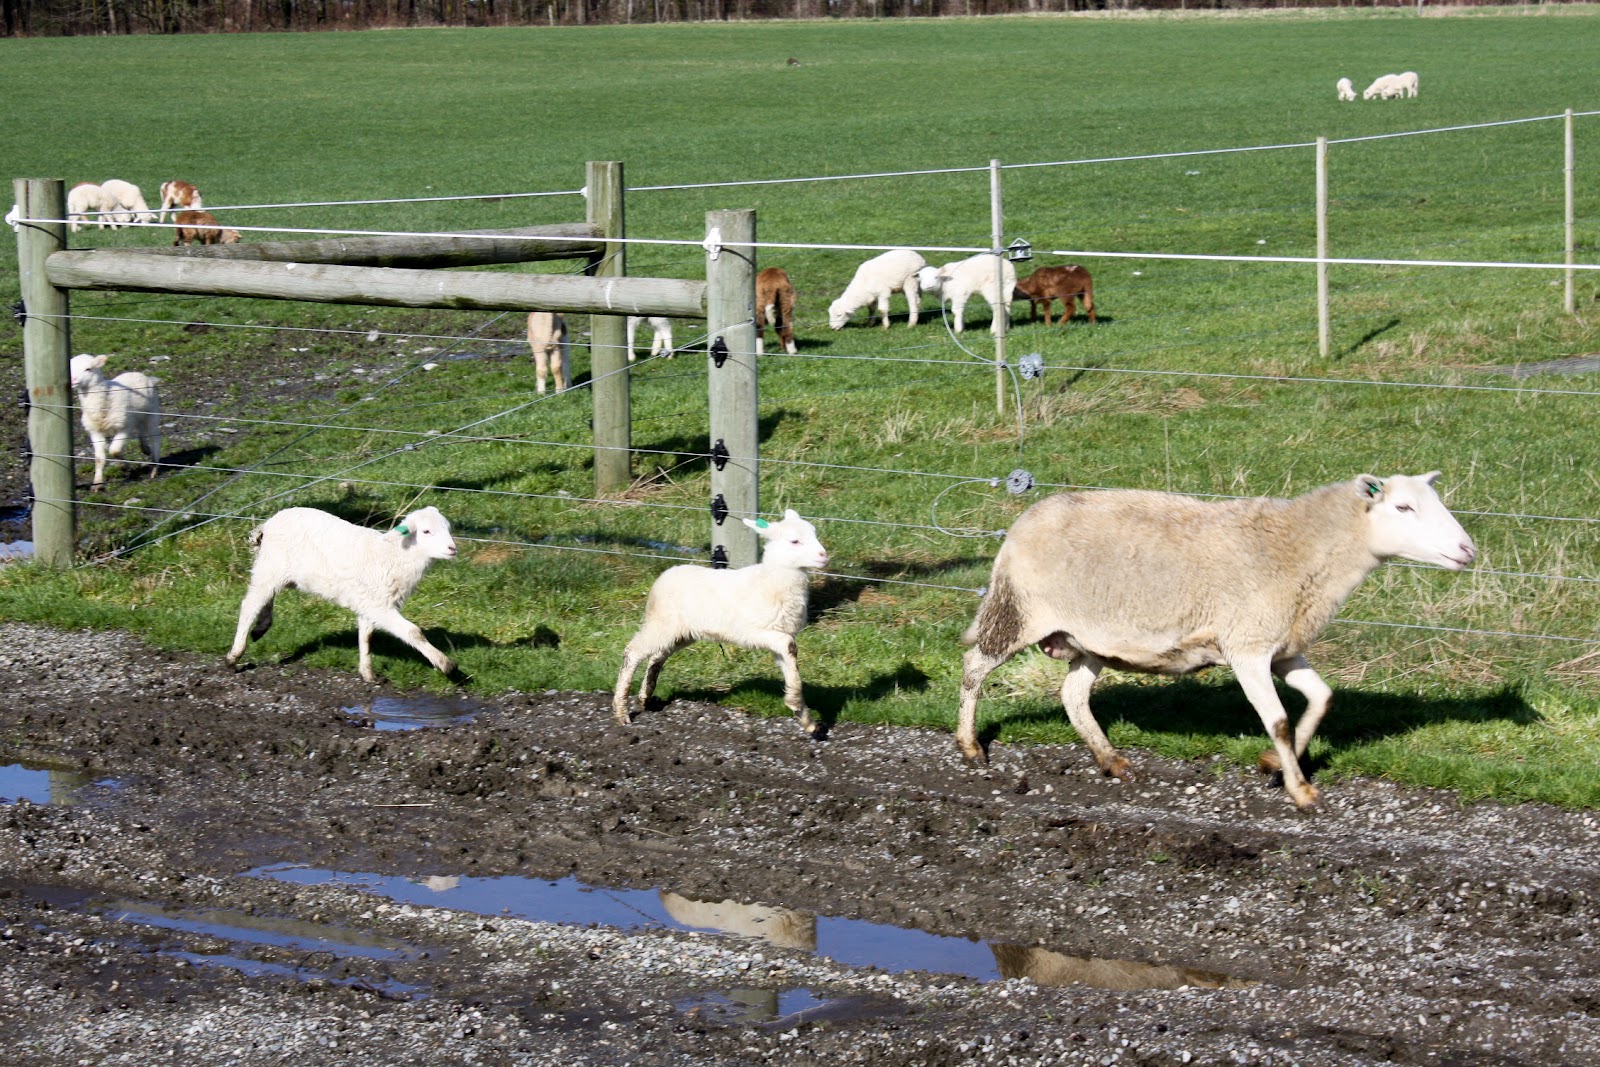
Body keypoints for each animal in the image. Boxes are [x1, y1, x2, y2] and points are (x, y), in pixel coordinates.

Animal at [67, 353, 162, 492]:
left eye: (88, 369)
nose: (73, 380)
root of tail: (138, 373)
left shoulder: (123, 427)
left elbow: (114, 451)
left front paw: (124, 466)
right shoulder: (95, 432)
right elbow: (99, 459)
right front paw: (97, 483)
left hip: (152, 412)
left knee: (155, 438)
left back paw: (154, 466)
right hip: (138, 415)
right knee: (140, 429)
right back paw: (145, 449)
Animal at [226, 505, 459, 684]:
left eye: (447, 528)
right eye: (426, 531)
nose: (452, 548)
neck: (393, 555)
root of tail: (269, 524)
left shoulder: (369, 603)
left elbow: (366, 637)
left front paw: (367, 673)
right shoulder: (380, 606)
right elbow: (414, 632)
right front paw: (446, 665)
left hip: (276, 571)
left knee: (266, 598)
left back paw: (261, 627)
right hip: (271, 567)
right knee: (250, 605)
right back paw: (234, 655)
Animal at [613, 509, 830, 735]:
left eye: (814, 533)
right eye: (794, 541)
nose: (824, 556)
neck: (770, 581)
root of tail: (663, 577)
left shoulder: (777, 636)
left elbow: (790, 659)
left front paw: (803, 715)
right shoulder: (752, 631)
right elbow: (790, 645)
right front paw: (798, 705)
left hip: (680, 632)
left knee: (657, 656)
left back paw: (645, 696)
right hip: (662, 622)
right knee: (634, 651)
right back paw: (621, 709)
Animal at [956, 472, 1476, 809]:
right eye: (1404, 507)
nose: (1468, 550)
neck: (1300, 549)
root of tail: (1025, 519)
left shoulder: (1282, 647)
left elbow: (1322, 699)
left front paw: (1274, 765)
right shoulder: (1246, 648)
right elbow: (1279, 720)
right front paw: (1301, 790)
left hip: (1090, 639)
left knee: (1073, 694)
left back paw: (1112, 761)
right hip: (1020, 611)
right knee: (974, 667)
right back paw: (969, 746)